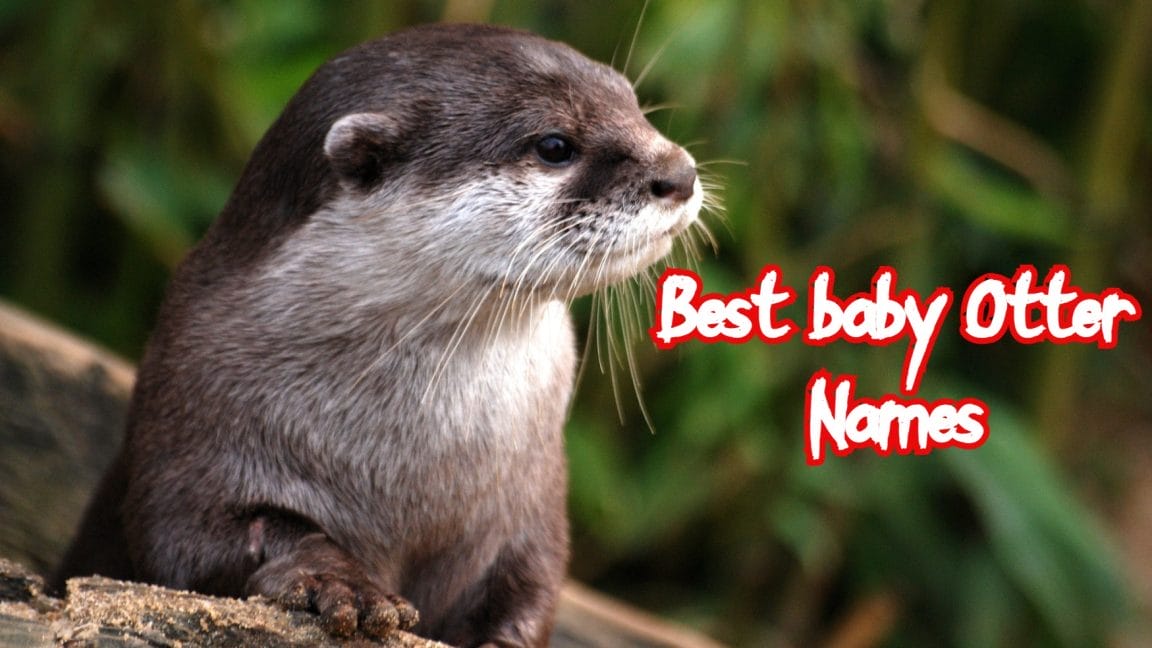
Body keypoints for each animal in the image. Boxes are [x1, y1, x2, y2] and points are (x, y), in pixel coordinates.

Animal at [55, 23, 703, 647]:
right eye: (554, 145)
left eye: (633, 103)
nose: (679, 173)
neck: (412, 469)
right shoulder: (188, 422)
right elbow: (191, 540)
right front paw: (337, 582)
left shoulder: (532, 506)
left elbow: (532, 587)